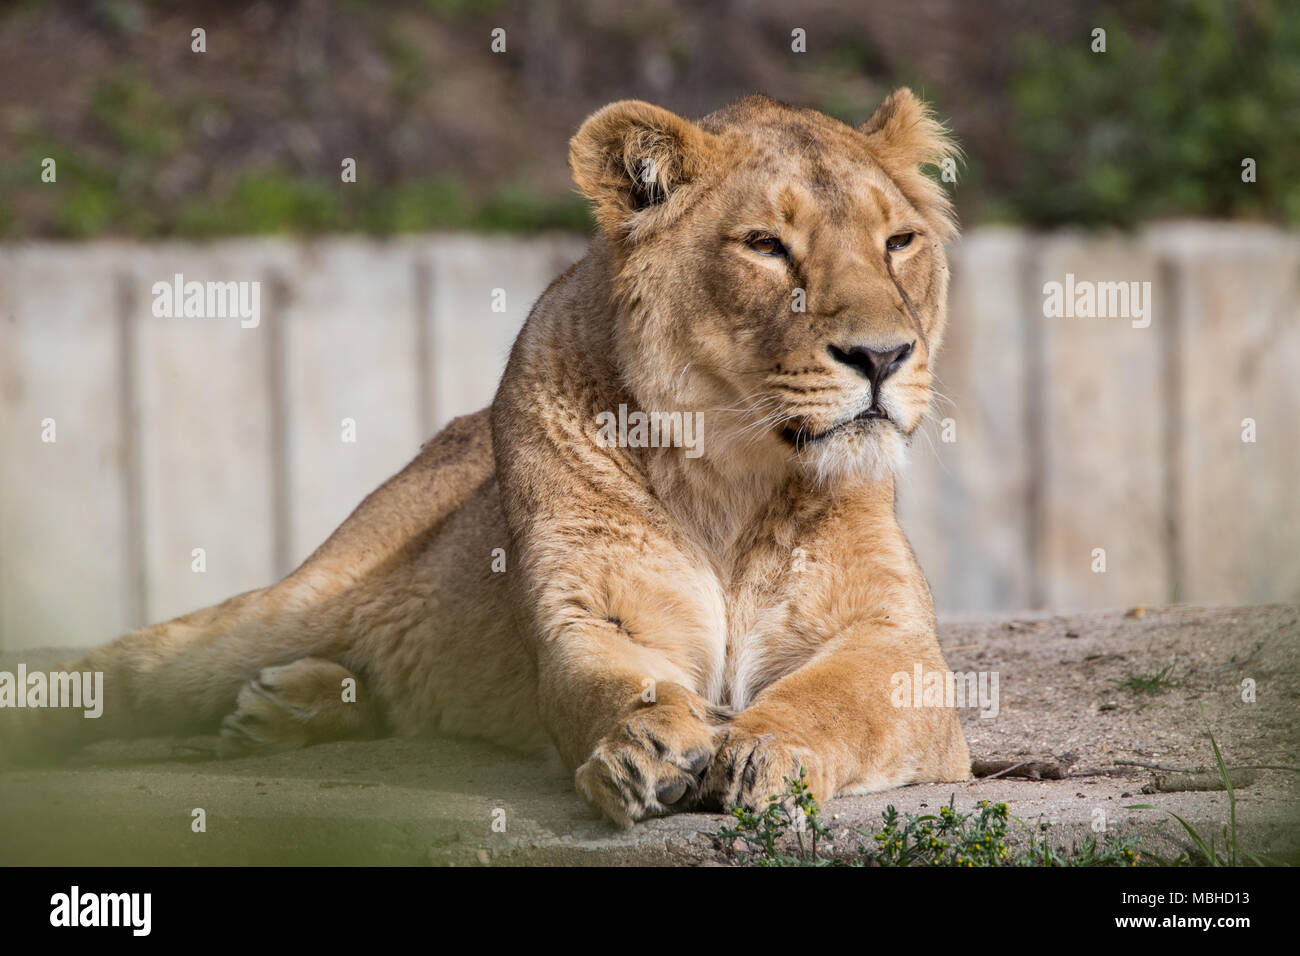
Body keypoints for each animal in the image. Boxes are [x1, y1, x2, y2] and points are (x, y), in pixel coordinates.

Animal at [2, 89, 972, 827]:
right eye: (766, 246)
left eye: (899, 242)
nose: (884, 357)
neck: (735, 472)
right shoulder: (586, 613)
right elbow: (612, 686)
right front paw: (645, 748)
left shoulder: (896, 643)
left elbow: (836, 695)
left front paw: (763, 747)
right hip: (294, 600)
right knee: (130, 665)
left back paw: (287, 708)